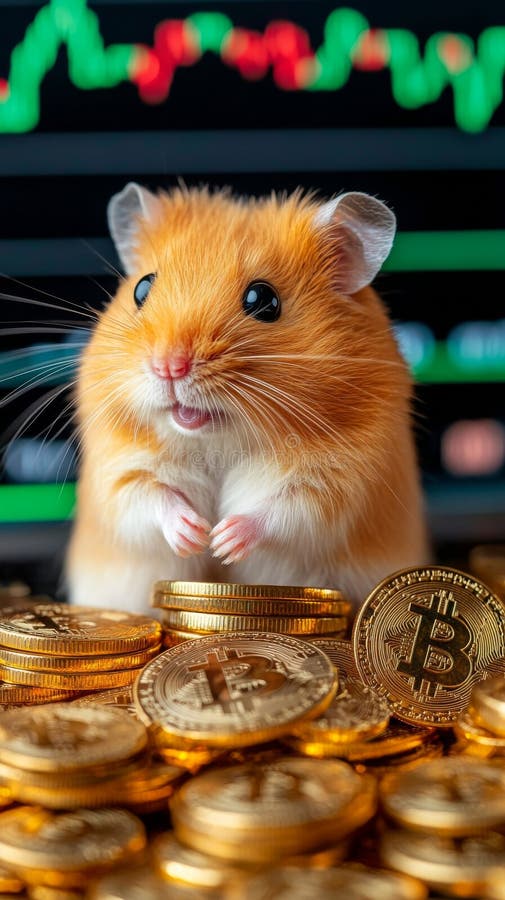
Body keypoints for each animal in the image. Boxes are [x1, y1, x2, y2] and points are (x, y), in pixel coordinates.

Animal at [66, 183, 429, 613]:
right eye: (142, 288)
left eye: (264, 300)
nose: (169, 366)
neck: (219, 437)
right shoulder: (120, 467)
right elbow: (149, 496)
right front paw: (195, 536)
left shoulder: (338, 480)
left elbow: (285, 511)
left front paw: (222, 541)